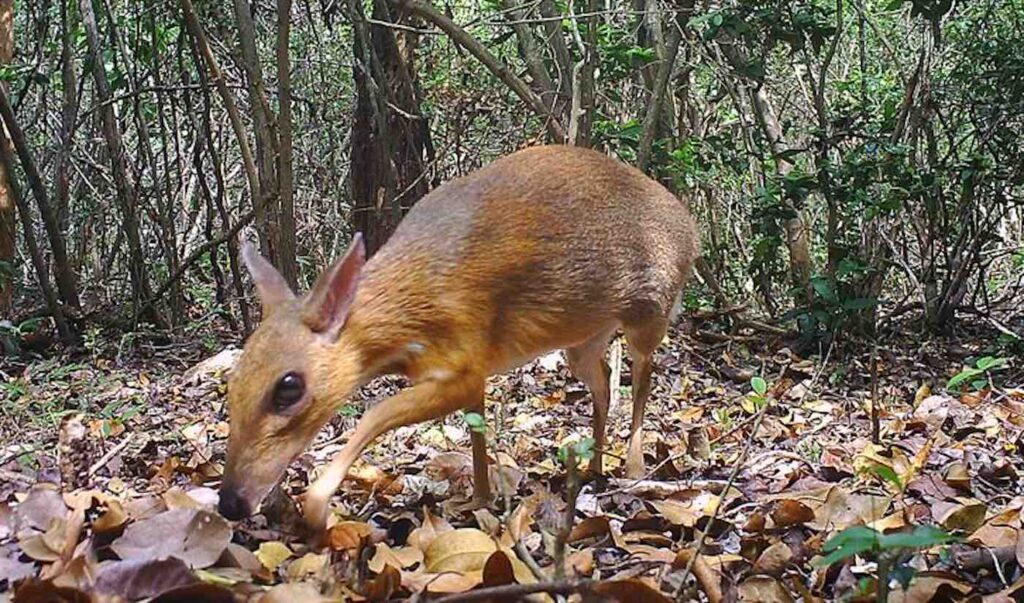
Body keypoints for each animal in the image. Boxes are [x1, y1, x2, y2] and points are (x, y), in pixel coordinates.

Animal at [216, 145, 700, 534]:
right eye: (232, 383)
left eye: (288, 387)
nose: (230, 502)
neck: (412, 307)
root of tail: (691, 227)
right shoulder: (474, 369)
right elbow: (475, 429)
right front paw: (480, 498)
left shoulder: (462, 359)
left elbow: (375, 413)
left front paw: (317, 508)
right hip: (583, 339)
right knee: (601, 382)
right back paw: (594, 466)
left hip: (651, 311)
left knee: (642, 378)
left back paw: (633, 468)